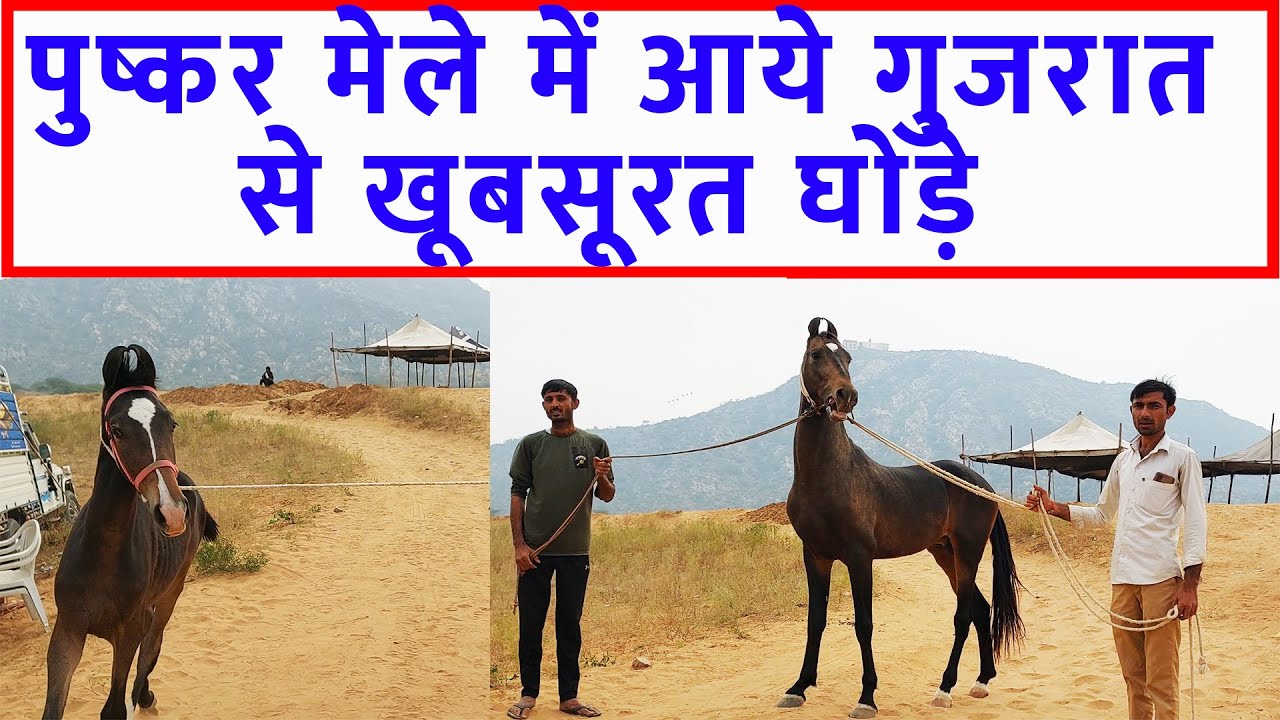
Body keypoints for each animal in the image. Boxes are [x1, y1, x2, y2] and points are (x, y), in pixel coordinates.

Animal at [42, 345, 219, 720]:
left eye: (171, 423)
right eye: (117, 429)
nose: (172, 512)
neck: (102, 555)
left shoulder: (127, 632)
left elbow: (115, 705)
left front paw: (135, 698)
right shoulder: (67, 632)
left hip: (171, 593)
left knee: (153, 645)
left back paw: (144, 695)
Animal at [777, 318, 1025, 718]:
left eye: (848, 357)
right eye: (816, 354)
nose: (846, 396)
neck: (828, 477)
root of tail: (981, 484)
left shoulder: (859, 558)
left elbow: (864, 624)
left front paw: (867, 696)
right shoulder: (815, 556)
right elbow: (815, 621)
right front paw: (798, 687)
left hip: (968, 552)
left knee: (963, 616)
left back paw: (945, 688)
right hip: (944, 553)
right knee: (980, 609)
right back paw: (982, 680)